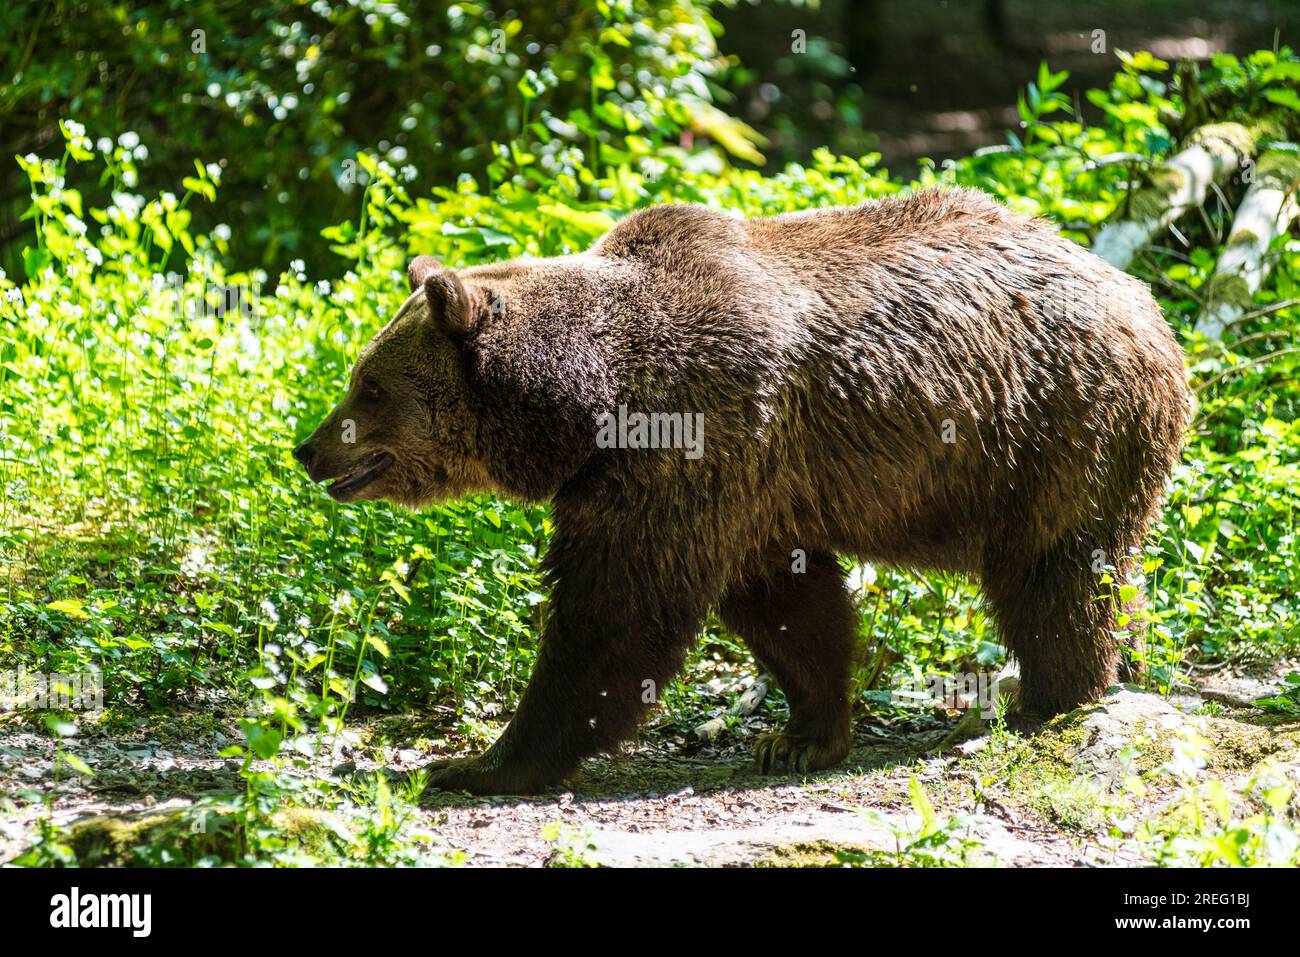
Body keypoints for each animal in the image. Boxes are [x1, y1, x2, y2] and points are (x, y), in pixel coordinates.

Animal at [293, 187, 1188, 795]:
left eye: (370, 386)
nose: (307, 448)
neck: (591, 401)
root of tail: (1147, 302)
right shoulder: (752, 487)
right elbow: (789, 606)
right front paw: (802, 734)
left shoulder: (690, 442)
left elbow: (616, 614)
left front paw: (477, 760)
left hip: (1054, 430)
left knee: (1056, 571)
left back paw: (1049, 697)